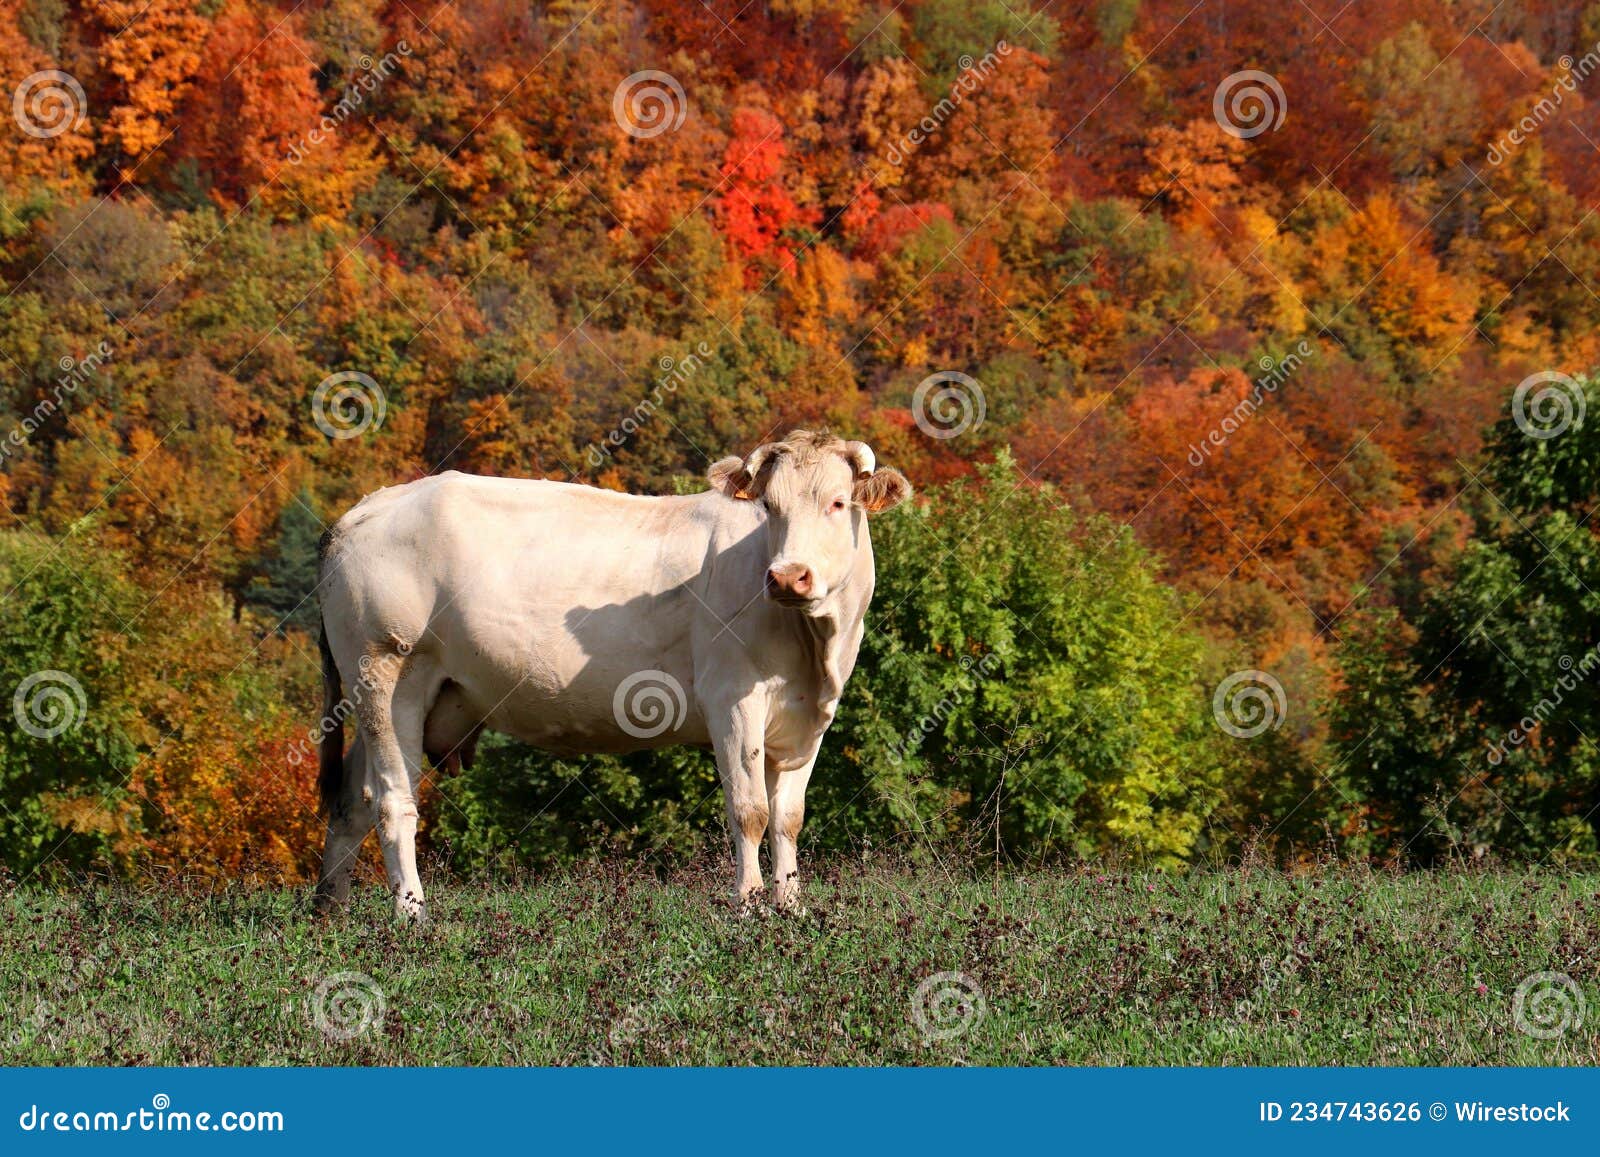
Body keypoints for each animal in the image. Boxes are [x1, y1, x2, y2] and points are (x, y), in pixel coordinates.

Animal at [312, 430, 912, 920]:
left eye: (838, 502)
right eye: (770, 505)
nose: (787, 576)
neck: (814, 649)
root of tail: (365, 509)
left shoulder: (809, 717)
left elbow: (788, 818)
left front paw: (791, 908)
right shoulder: (732, 699)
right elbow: (750, 812)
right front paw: (748, 906)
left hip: (386, 697)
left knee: (350, 804)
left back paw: (330, 916)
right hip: (387, 673)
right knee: (392, 802)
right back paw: (411, 915)